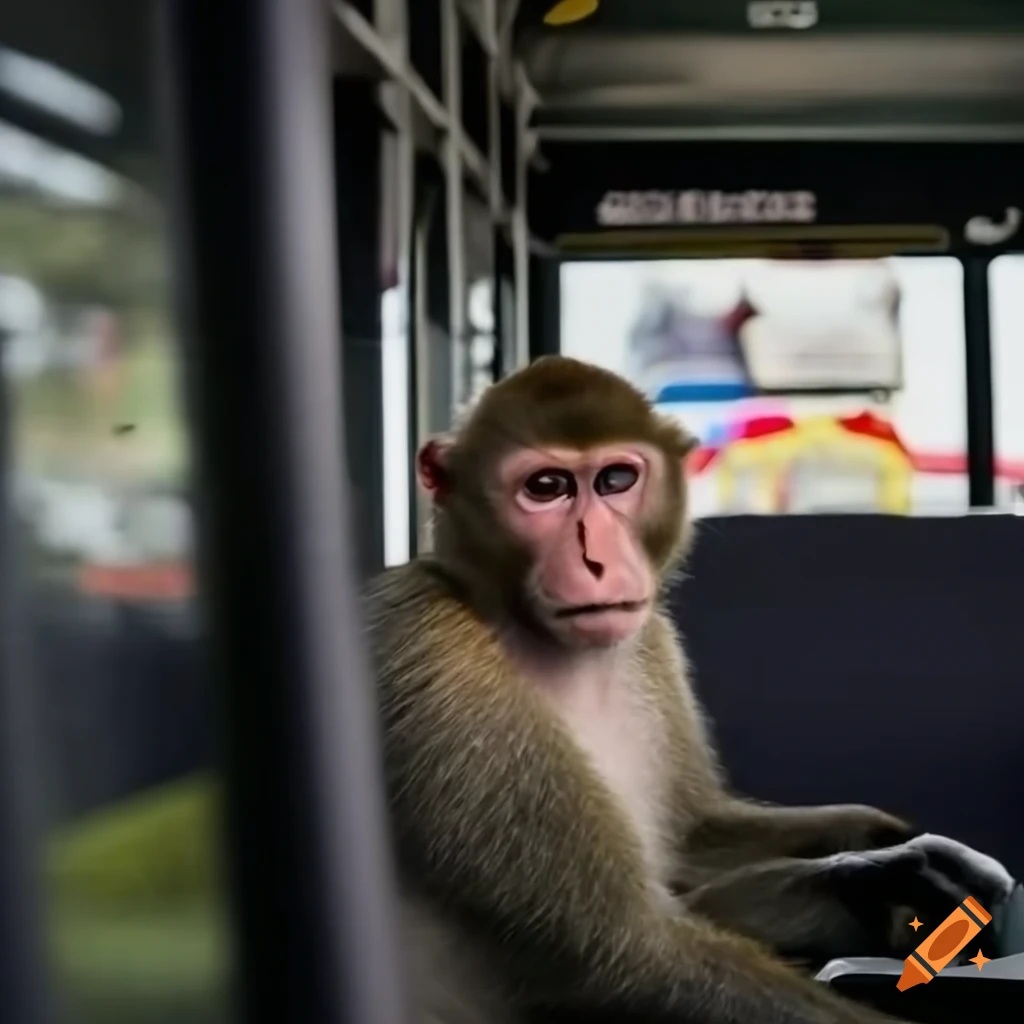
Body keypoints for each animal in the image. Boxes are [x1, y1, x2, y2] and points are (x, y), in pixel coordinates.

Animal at [365, 356, 1013, 1024]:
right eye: (545, 487)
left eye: (616, 479)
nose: (597, 560)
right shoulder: (438, 664)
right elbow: (624, 956)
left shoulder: (652, 644)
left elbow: (690, 840)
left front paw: (886, 862)